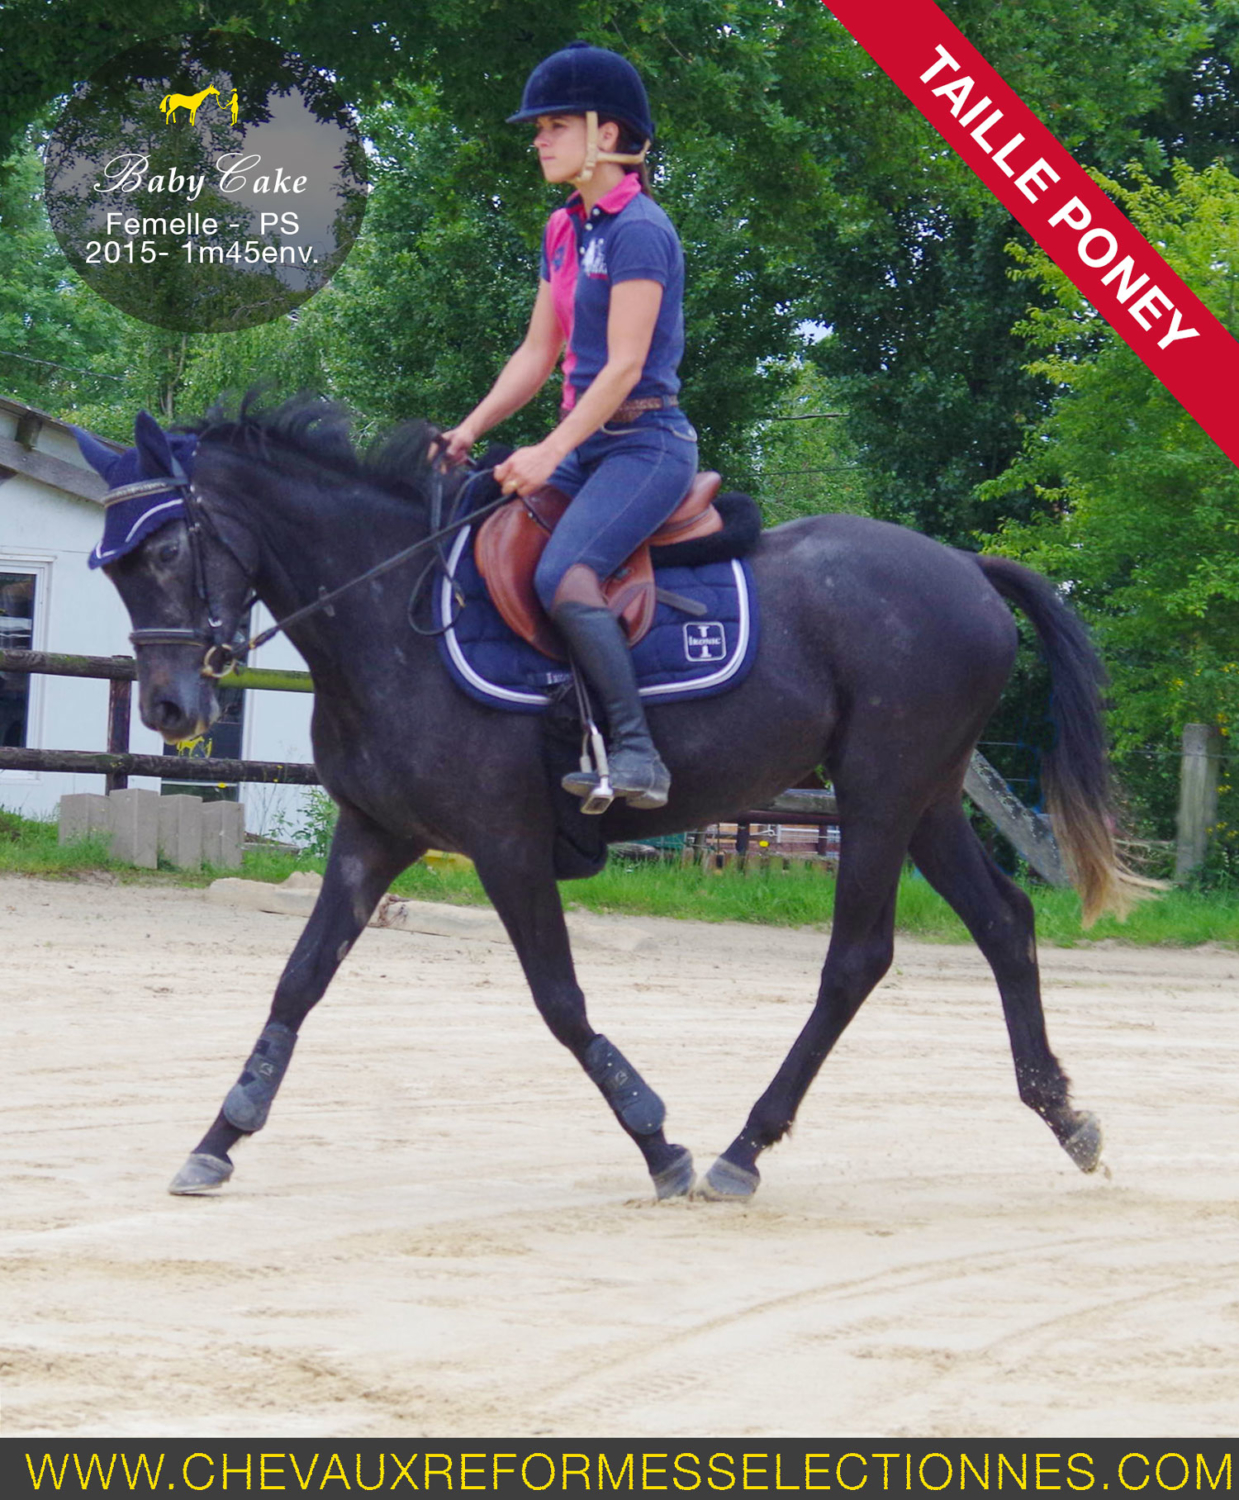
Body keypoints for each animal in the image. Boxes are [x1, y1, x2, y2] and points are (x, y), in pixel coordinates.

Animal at [93, 392, 1148, 1201]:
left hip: (881, 793)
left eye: (167, 551)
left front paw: (658, 1142)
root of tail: (964, 567)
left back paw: (741, 1150)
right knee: (1004, 924)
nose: (169, 707)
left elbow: (559, 999)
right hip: (925, 798)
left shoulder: (504, 843)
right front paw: (219, 1138)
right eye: (113, 568)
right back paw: (1065, 1117)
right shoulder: (374, 835)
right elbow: (300, 980)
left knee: (856, 959)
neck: (392, 617)